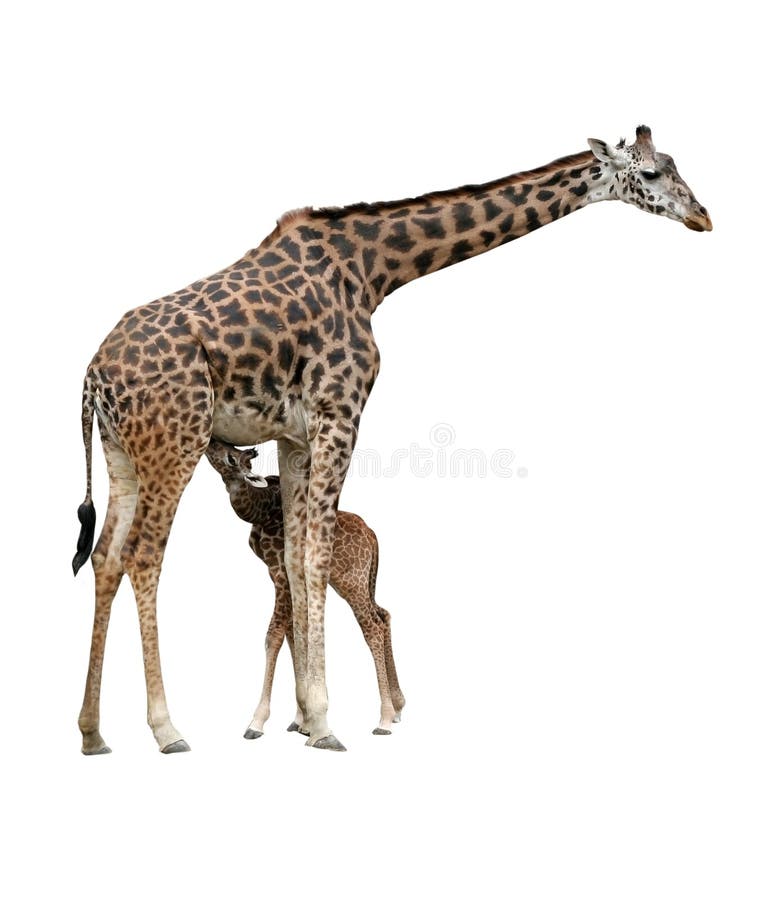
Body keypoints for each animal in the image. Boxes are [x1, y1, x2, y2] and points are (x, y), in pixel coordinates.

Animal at [204, 439, 405, 737]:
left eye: (230, 457)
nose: (211, 443)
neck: (261, 510)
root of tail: (372, 536)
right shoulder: (278, 575)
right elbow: (294, 633)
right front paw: (303, 719)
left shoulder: (280, 572)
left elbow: (274, 635)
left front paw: (258, 721)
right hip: (361, 581)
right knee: (384, 614)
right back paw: (399, 706)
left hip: (352, 582)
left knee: (373, 627)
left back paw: (384, 719)